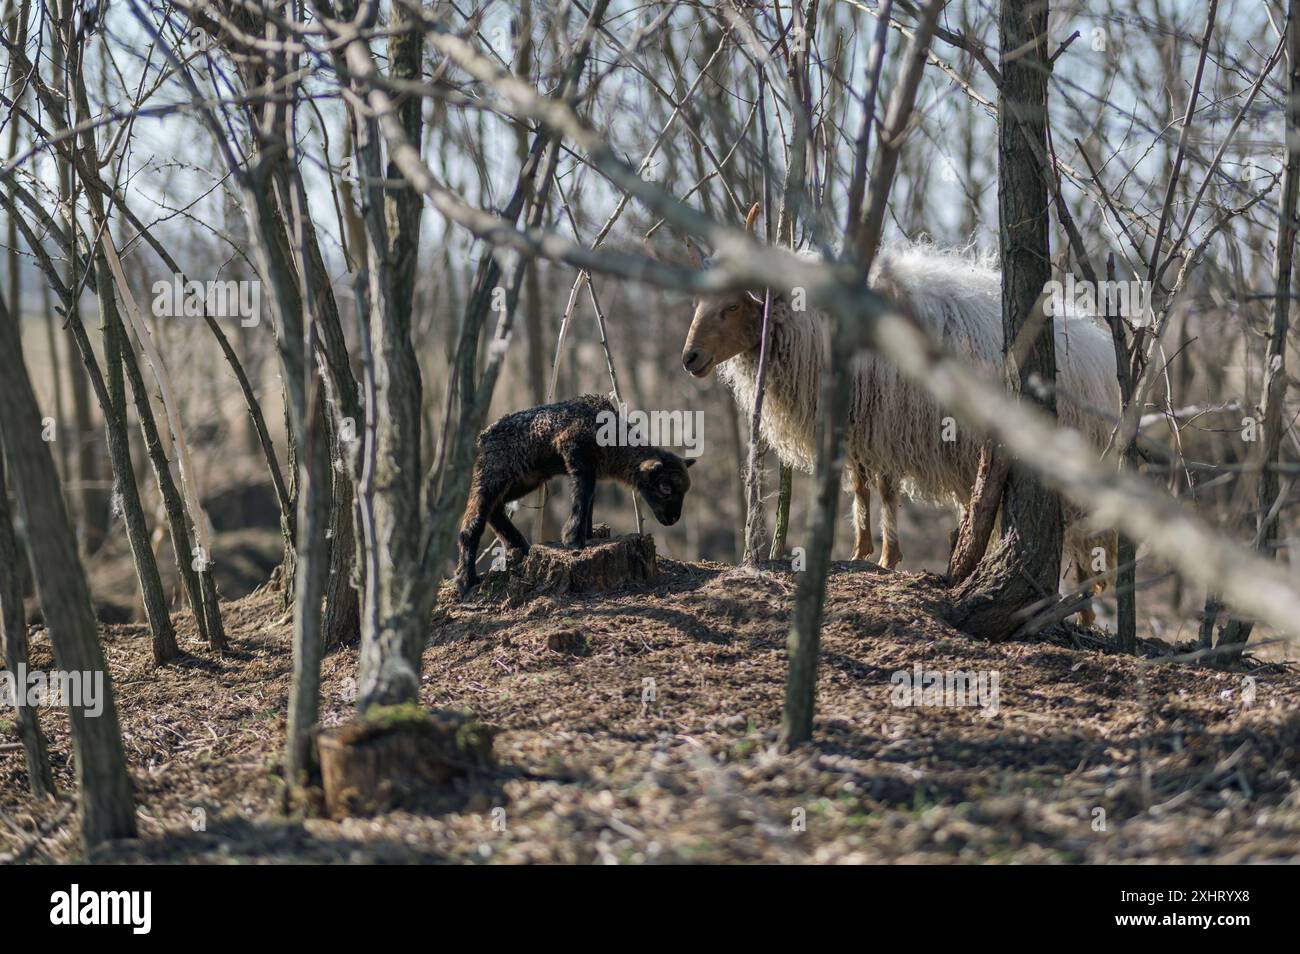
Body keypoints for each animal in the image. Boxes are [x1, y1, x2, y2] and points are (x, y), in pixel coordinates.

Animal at [681, 240, 1120, 620]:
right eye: (698, 303)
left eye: (732, 305)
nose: (690, 359)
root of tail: (1100, 352)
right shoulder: (858, 425)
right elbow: (860, 486)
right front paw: (860, 551)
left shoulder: (887, 423)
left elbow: (887, 490)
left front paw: (888, 556)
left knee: (1081, 544)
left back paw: (1083, 616)